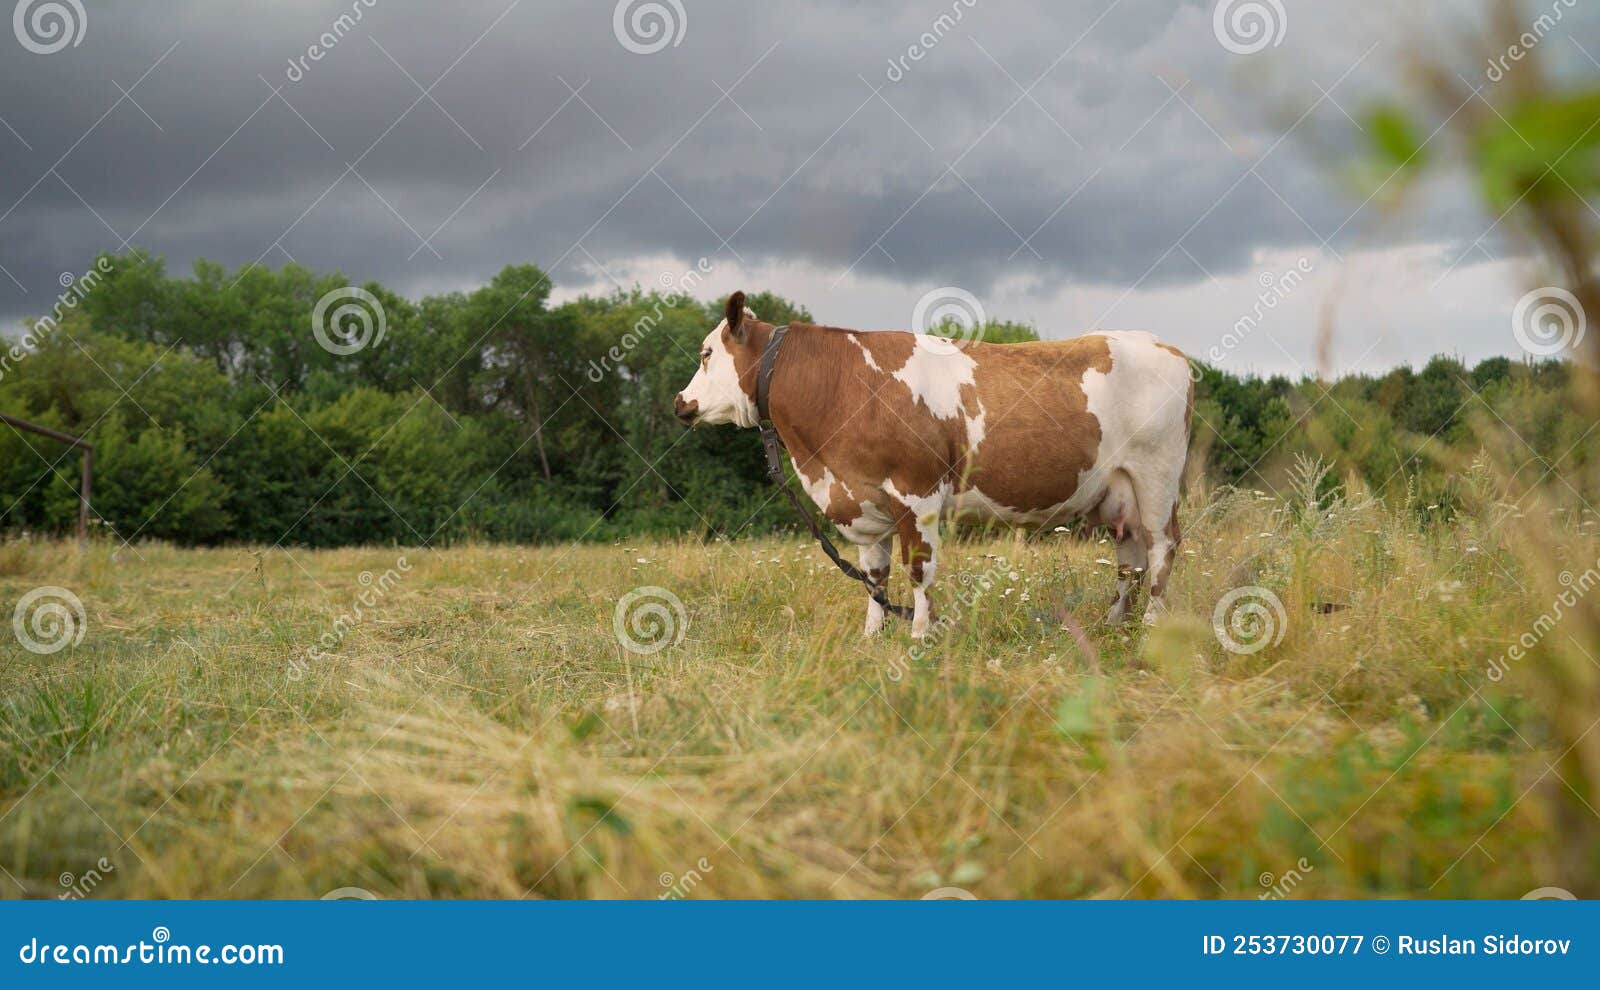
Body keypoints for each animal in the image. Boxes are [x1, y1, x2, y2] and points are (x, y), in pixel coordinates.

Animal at [674, 291, 1193, 638]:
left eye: (706, 353)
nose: (680, 402)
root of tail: (1167, 348)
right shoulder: (865, 499)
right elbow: (875, 576)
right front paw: (872, 636)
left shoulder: (917, 492)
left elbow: (919, 571)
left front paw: (920, 637)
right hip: (1118, 492)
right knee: (1129, 559)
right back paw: (1113, 625)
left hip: (1156, 475)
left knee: (1162, 547)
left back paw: (1151, 626)